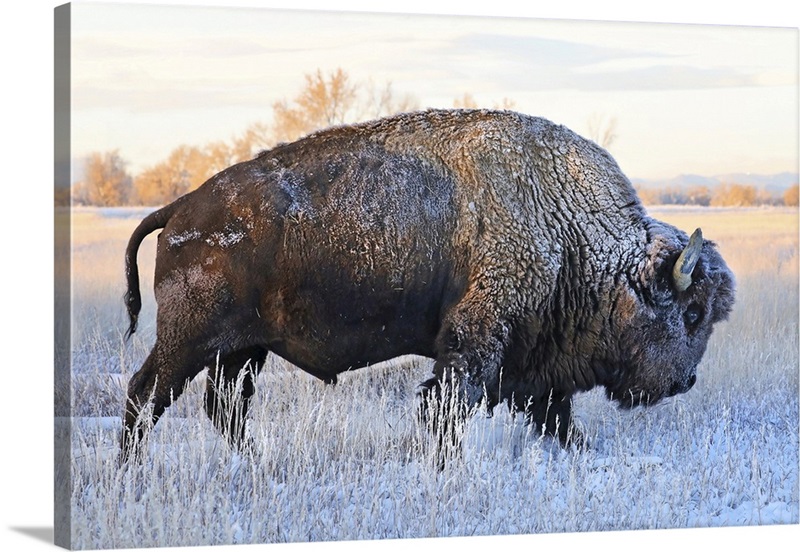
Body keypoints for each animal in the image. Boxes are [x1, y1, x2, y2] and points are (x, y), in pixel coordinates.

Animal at [121, 109, 735, 460]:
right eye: (692, 313)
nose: (686, 382)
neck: (574, 235)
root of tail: (181, 207)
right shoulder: (478, 341)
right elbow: (449, 404)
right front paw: (443, 463)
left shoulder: (538, 365)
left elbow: (555, 417)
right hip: (188, 343)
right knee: (146, 394)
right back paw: (131, 469)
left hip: (242, 350)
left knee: (224, 407)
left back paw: (256, 461)